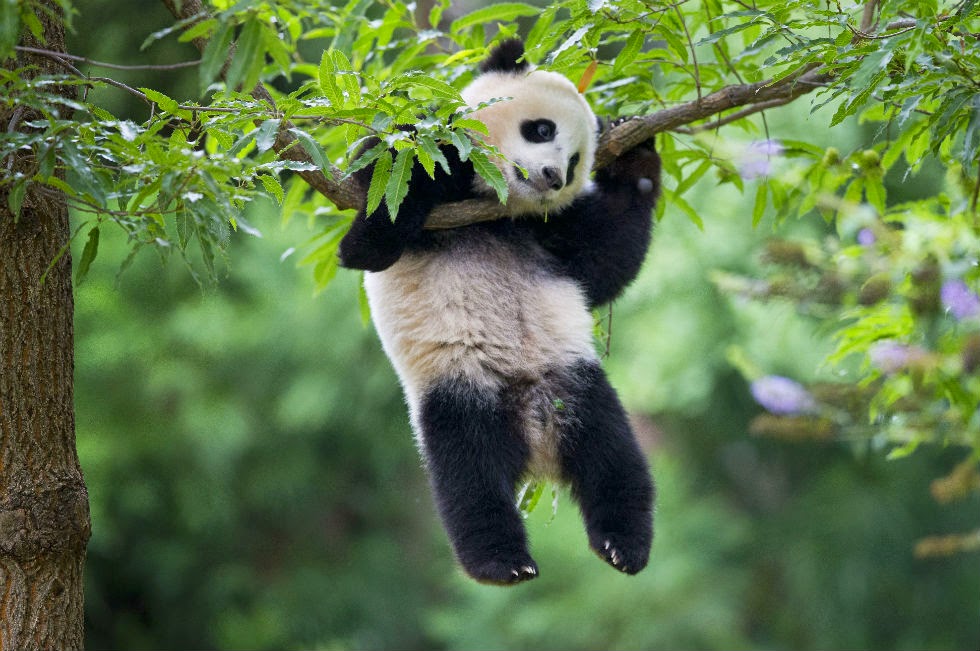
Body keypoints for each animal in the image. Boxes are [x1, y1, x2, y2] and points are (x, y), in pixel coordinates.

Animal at [338, 39, 660, 585]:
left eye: (576, 161)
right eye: (542, 129)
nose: (553, 177)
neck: (496, 205)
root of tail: (537, 439)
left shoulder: (548, 230)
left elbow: (604, 260)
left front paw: (636, 155)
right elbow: (384, 197)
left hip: (579, 389)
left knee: (615, 462)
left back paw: (623, 546)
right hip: (464, 392)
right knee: (471, 479)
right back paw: (502, 562)